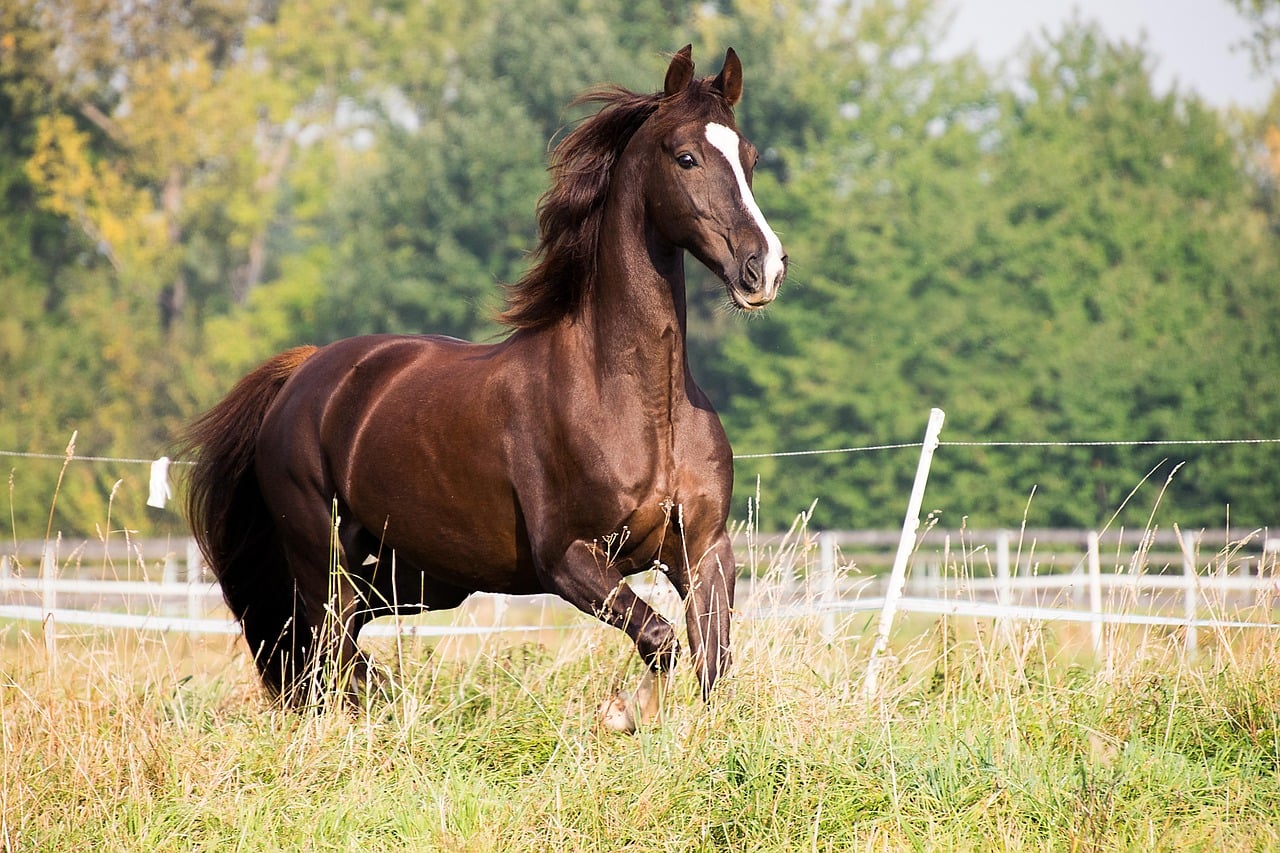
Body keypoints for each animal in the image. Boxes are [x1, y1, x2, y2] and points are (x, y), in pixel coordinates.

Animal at [182, 45, 787, 727]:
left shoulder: (705, 551)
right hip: (320, 553)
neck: (639, 402)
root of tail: (305, 374)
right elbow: (660, 640)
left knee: (339, 635)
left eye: (750, 157)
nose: (764, 268)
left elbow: (712, 660)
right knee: (327, 643)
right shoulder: (566, 558)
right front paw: (625, 713)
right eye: (686, 157)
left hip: (423, 574)